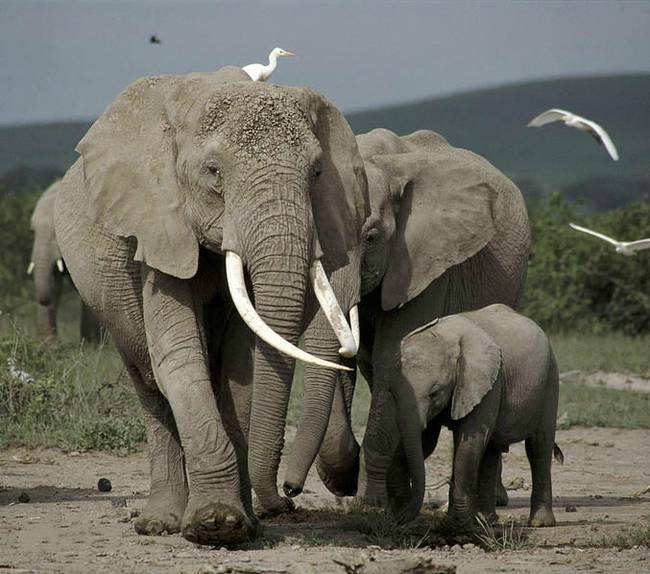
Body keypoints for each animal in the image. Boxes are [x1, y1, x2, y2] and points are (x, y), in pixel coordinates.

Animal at [28, 180, 103, 344]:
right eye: (33, 231)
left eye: (58, 231)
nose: (43, 300)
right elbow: (54, 284)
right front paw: (48, 344)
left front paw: (91, 345)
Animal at [54, 66, 368, 544]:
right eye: (213, 171)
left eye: (317, 172)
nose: (288, 497)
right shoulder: (159, 227)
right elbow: (179, 356)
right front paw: (214, 524)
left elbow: (241, 368)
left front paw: (239, 525)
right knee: (149, 382)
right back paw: (160, 523)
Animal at [282, 128, 531, 508]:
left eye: (371, 238)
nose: (289, 491)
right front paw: (346, 482)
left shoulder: (426, 264)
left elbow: (393, 360)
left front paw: (368, 505)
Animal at [392, 304, 561, 528]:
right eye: (393, 394)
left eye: (434, 393)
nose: (399, 518)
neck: (447, 335)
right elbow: (426, 442)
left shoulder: (488, 384)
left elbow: (469, 444)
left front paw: (459, 524)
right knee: (492, 449)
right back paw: (487, 520)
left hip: (550, 379)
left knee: (538, 446)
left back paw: (540, 523)